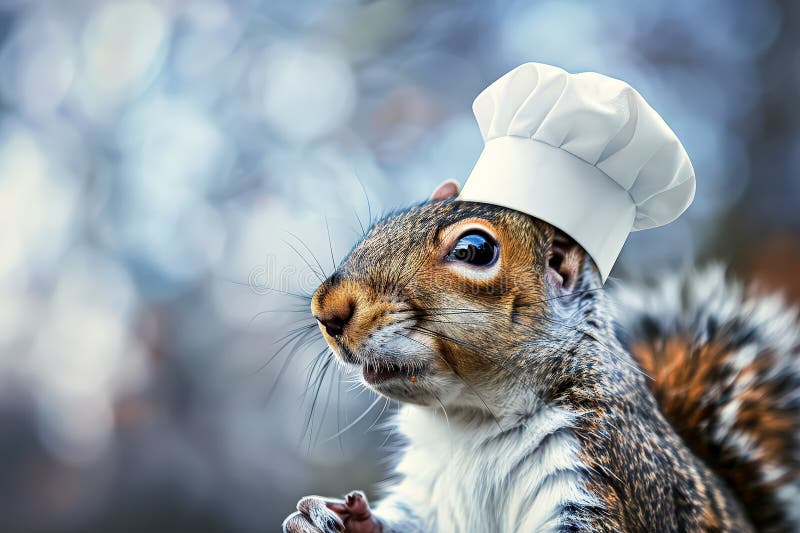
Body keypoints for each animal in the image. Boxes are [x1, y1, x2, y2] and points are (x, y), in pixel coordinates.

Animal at [281, 180, 800, 533]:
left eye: (474, 249)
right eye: (377, 227)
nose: (326, 310)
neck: (471, 423)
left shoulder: (602, 474)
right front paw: (330, 518)